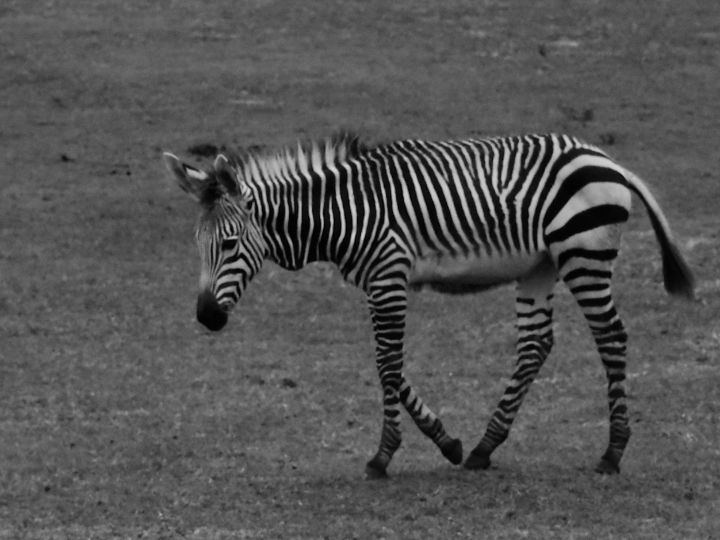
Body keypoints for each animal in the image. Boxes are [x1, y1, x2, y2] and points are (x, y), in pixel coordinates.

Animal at [163, 132, 694, 478]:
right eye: (198, 245)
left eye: (229, 244)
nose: (206, 317)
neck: (338, 214)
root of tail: (607, 159)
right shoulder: (378, 283)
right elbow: (389, 366)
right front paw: (449, 443)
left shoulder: (389, 277)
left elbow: (387, 363)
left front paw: (383, 457)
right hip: (540, 264)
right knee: (535, 344)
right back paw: (483, 448)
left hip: (583, 254)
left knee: (611, 336)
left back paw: (613, 452)